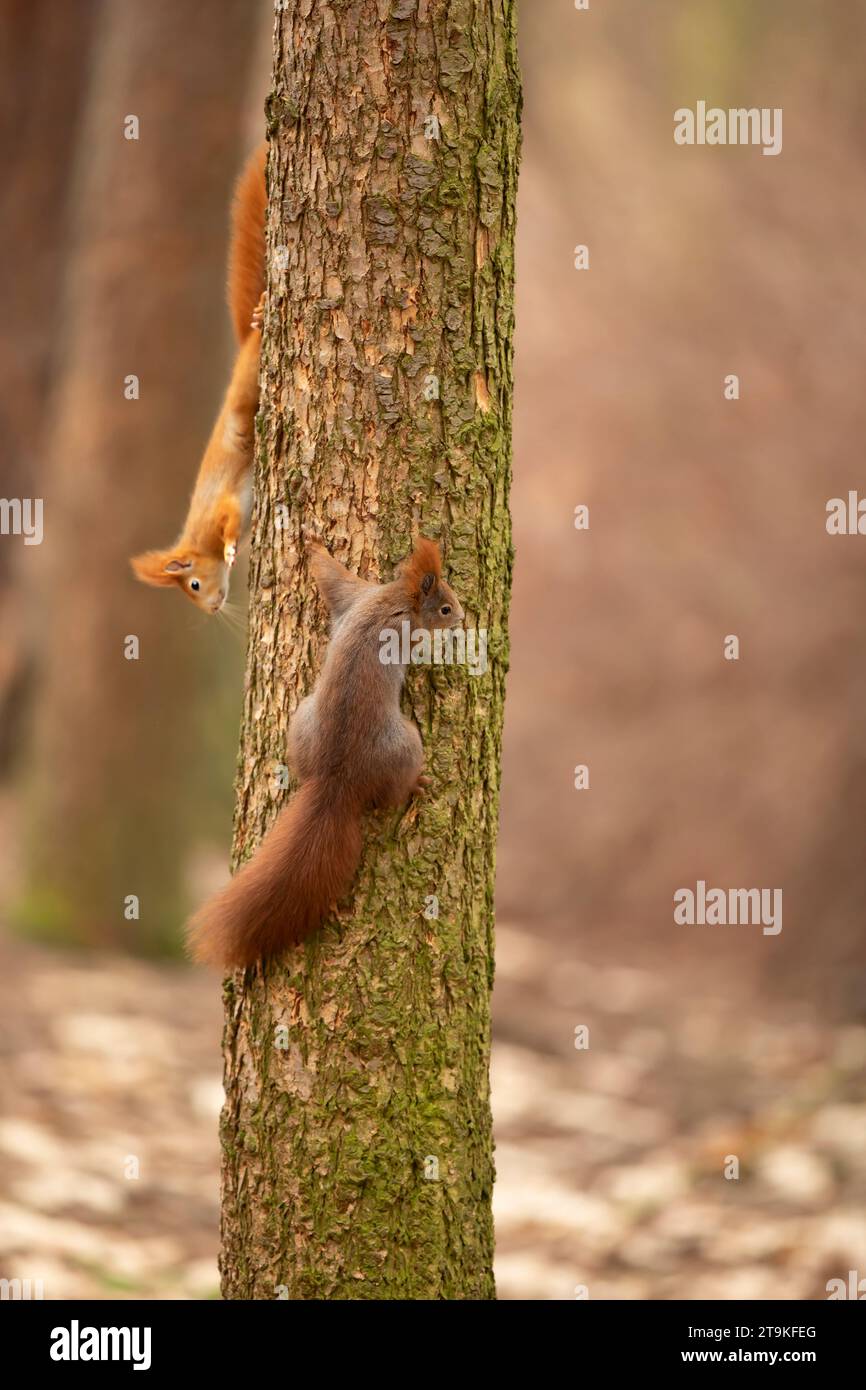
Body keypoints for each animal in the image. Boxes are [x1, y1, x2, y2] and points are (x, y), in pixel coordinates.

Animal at [130, 142, 267, 612]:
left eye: (191, 584)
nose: (212, 608)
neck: (195, 536)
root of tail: (245, 343)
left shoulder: (219, 508)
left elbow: (229, 523)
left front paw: (230, 549)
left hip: (248, 384)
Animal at [186, 536, 464, 969]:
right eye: (446, 607)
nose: (463, 618)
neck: (394, 599)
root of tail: (337, 779)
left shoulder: (355, 596)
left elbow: (332, 578)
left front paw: (314, 546)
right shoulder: (397, 625)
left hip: (302, 718)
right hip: (406, 744)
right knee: (393, 793)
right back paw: (415, 785)